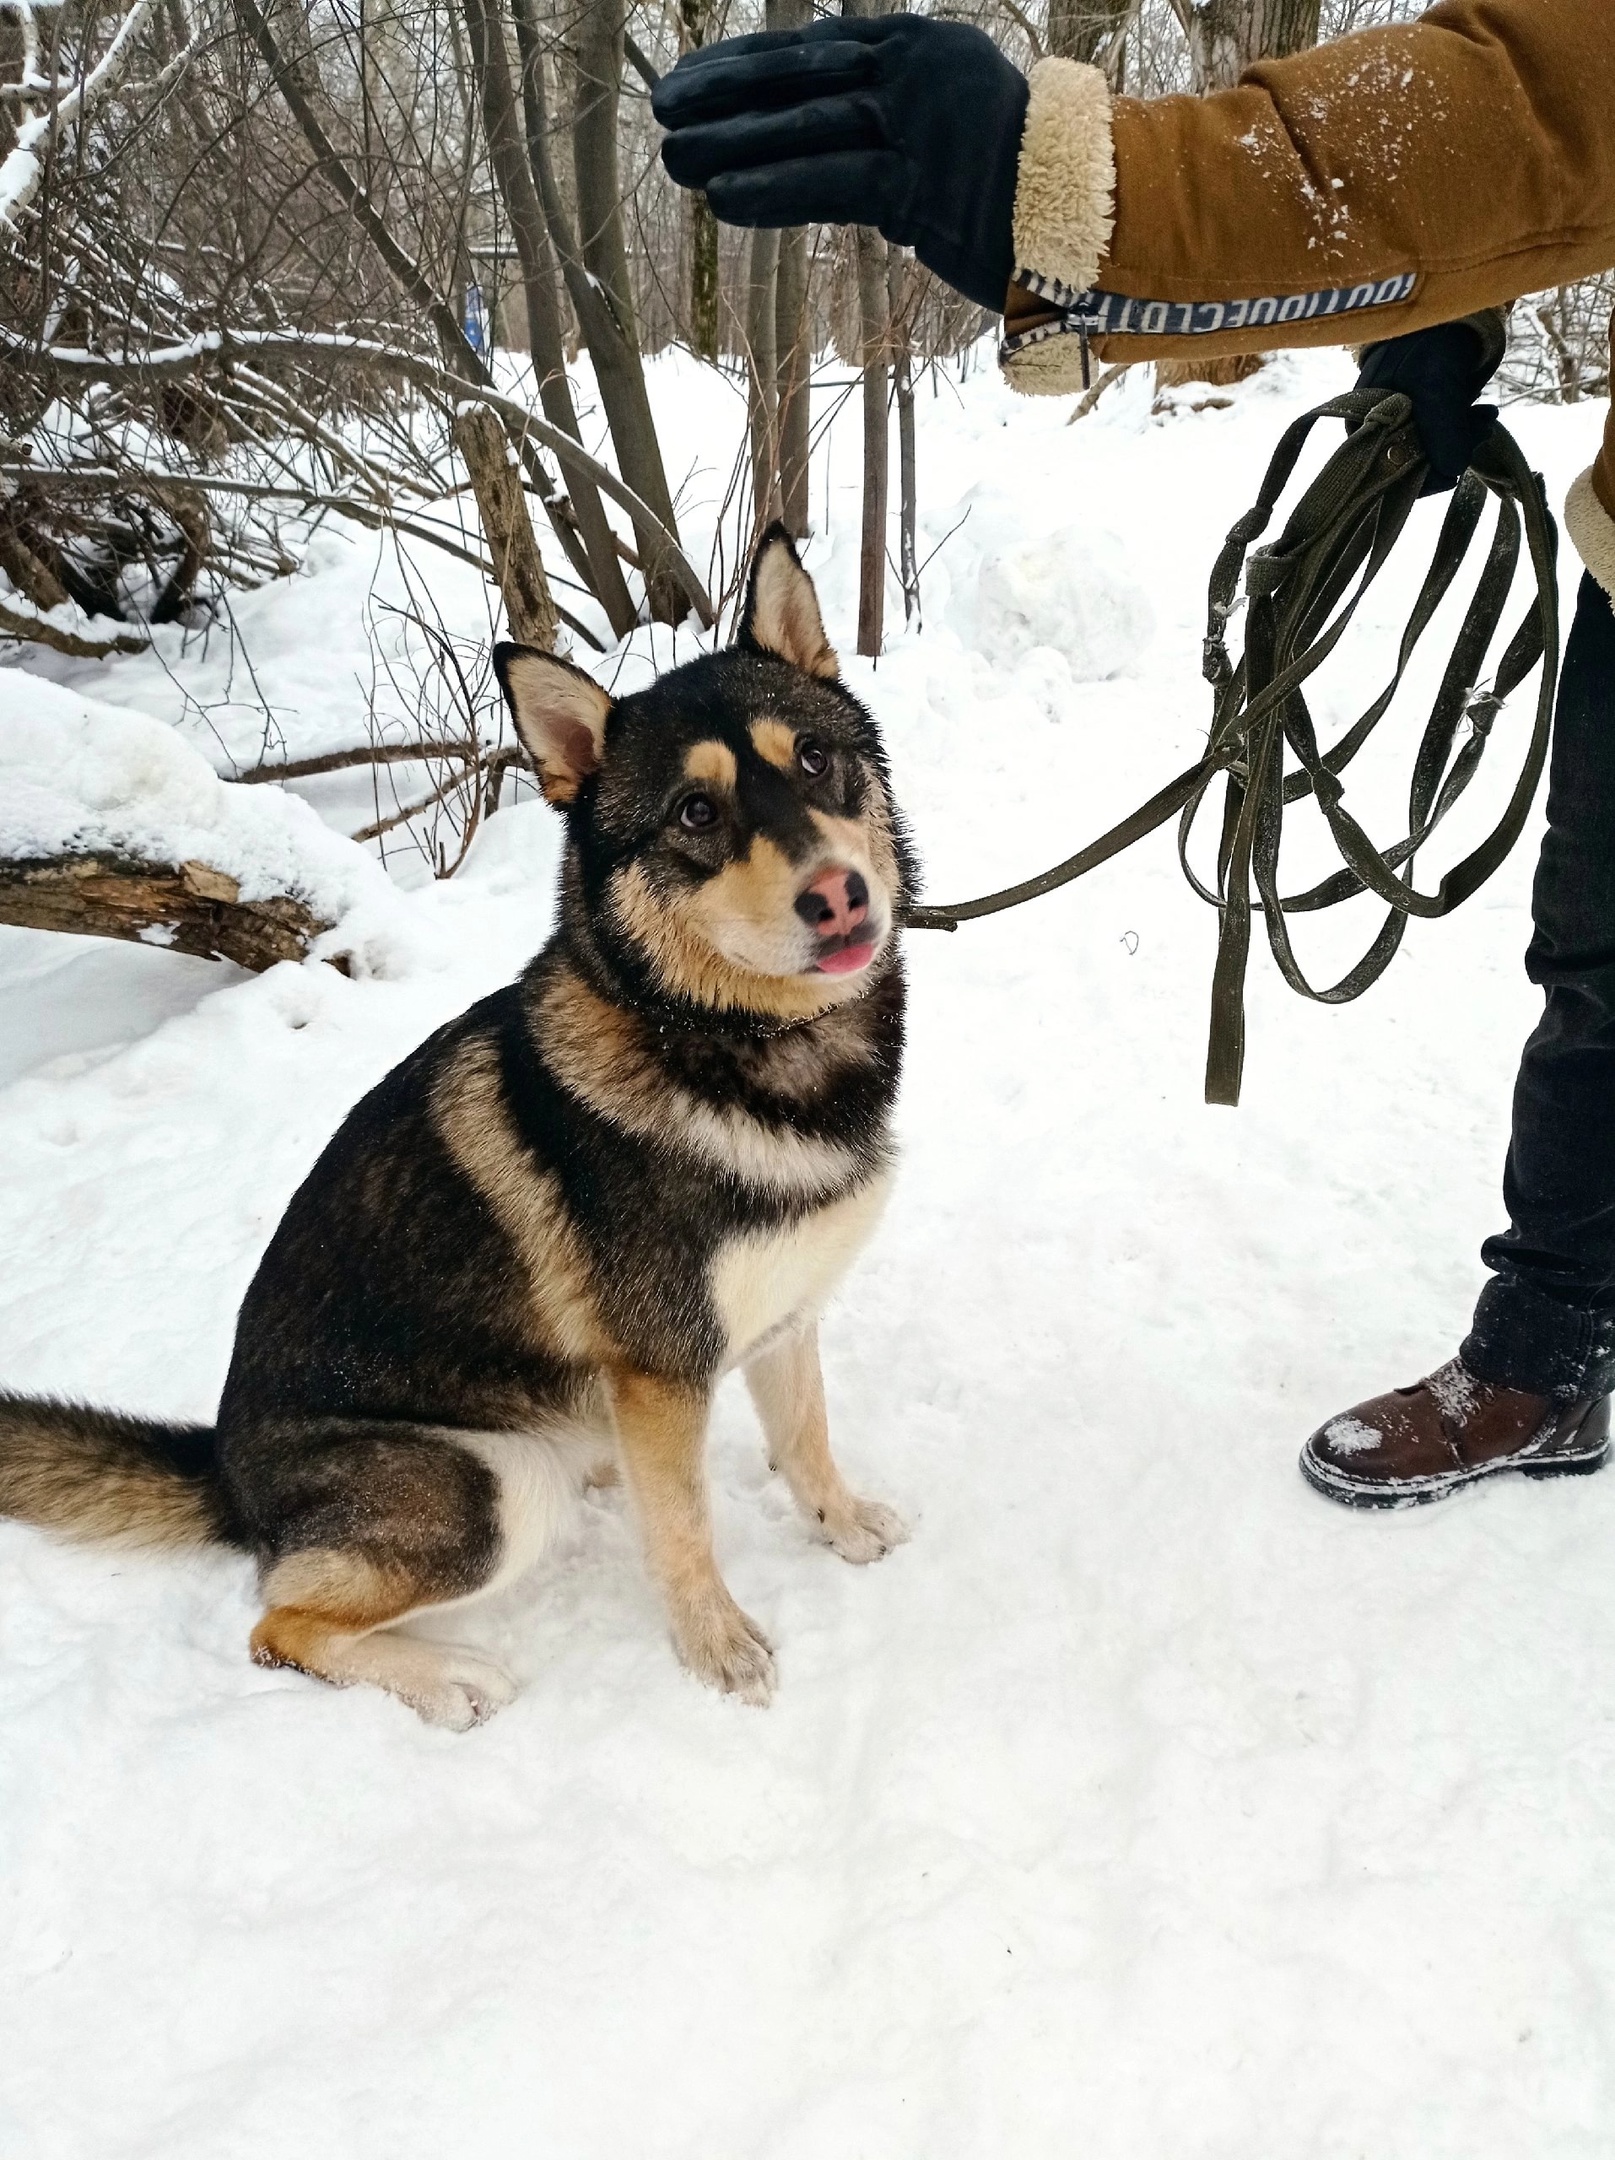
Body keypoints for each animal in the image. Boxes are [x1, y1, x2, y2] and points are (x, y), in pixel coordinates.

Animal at [0, 531, 906, 1728]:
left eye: (811, 759)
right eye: (695, 816)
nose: (839, 896)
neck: (725, 1040)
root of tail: (229, 1477)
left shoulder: (784, 1319)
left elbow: (806, 1441)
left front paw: (841, 1527)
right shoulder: (663, 1377)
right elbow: (683, 1530)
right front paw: (718, 1648)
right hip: (492, 1484)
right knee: (277, 1627)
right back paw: (446, 1681)